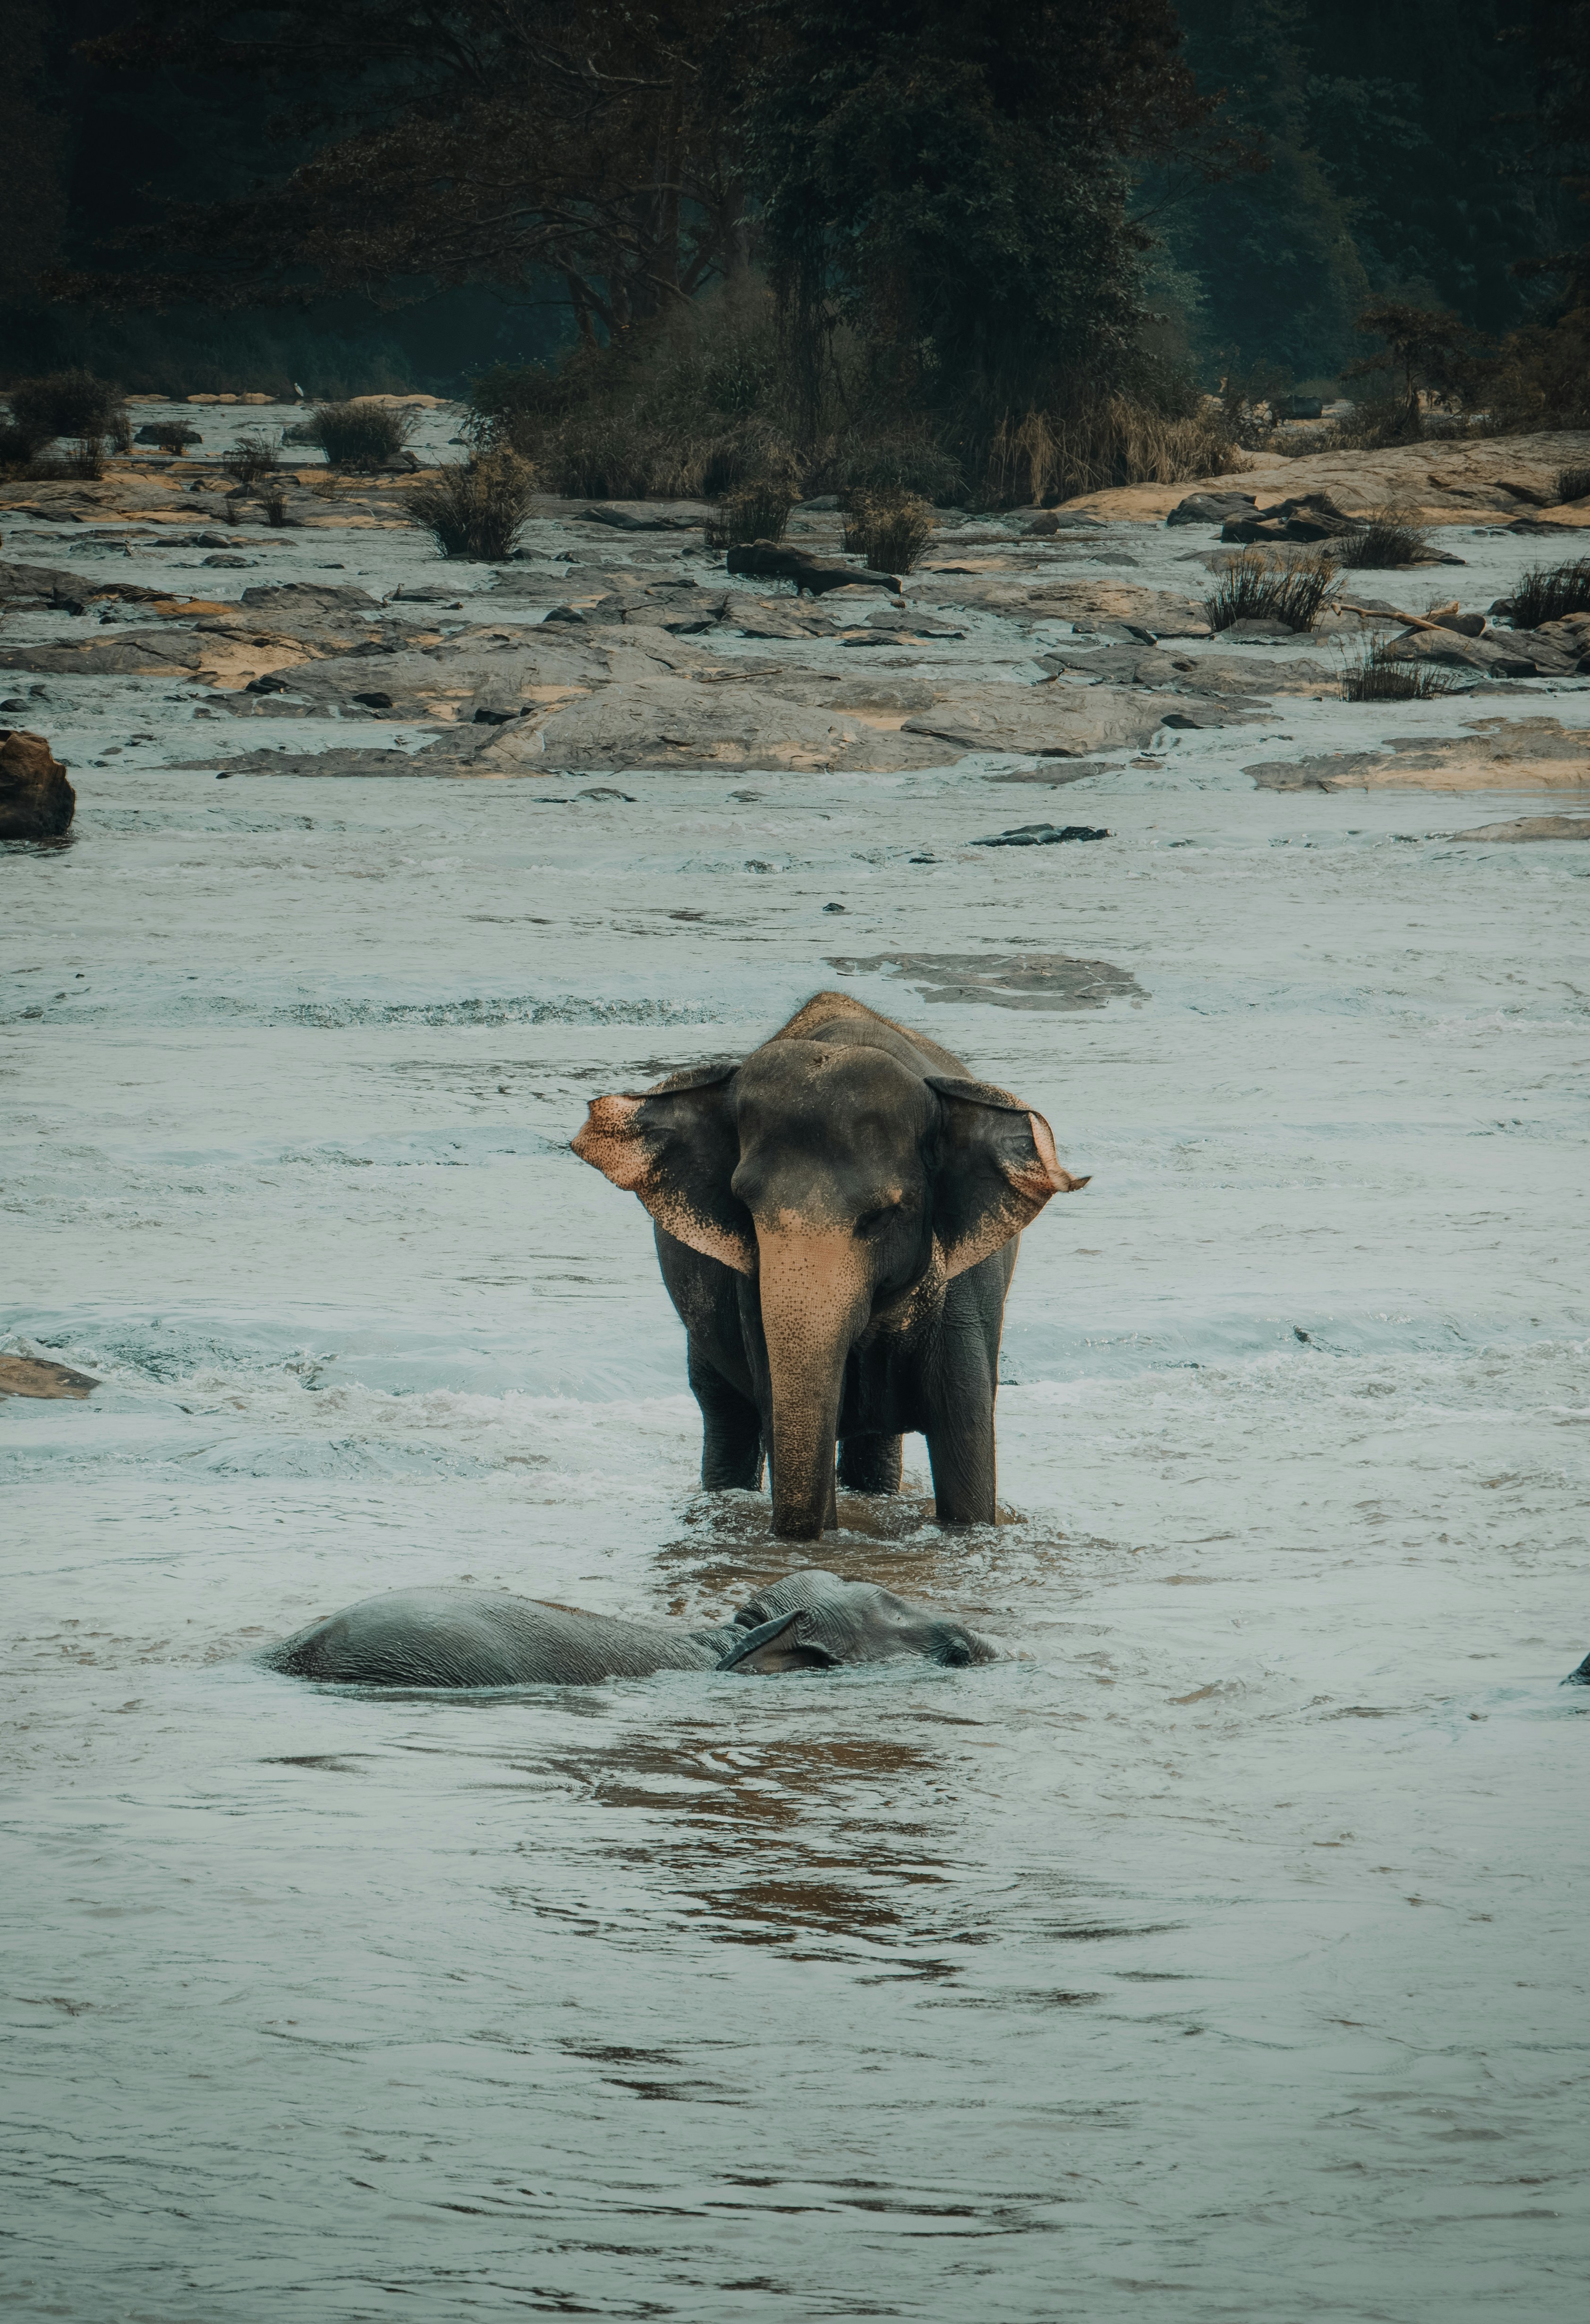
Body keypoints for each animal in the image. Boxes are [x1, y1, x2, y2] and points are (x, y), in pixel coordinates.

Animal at [572, 991, 1087, 1539]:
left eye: (880, 1216)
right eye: (744, 1208)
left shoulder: (964, 1293)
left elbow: (964, 1439)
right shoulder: (752, 1295)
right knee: (725, 1416)